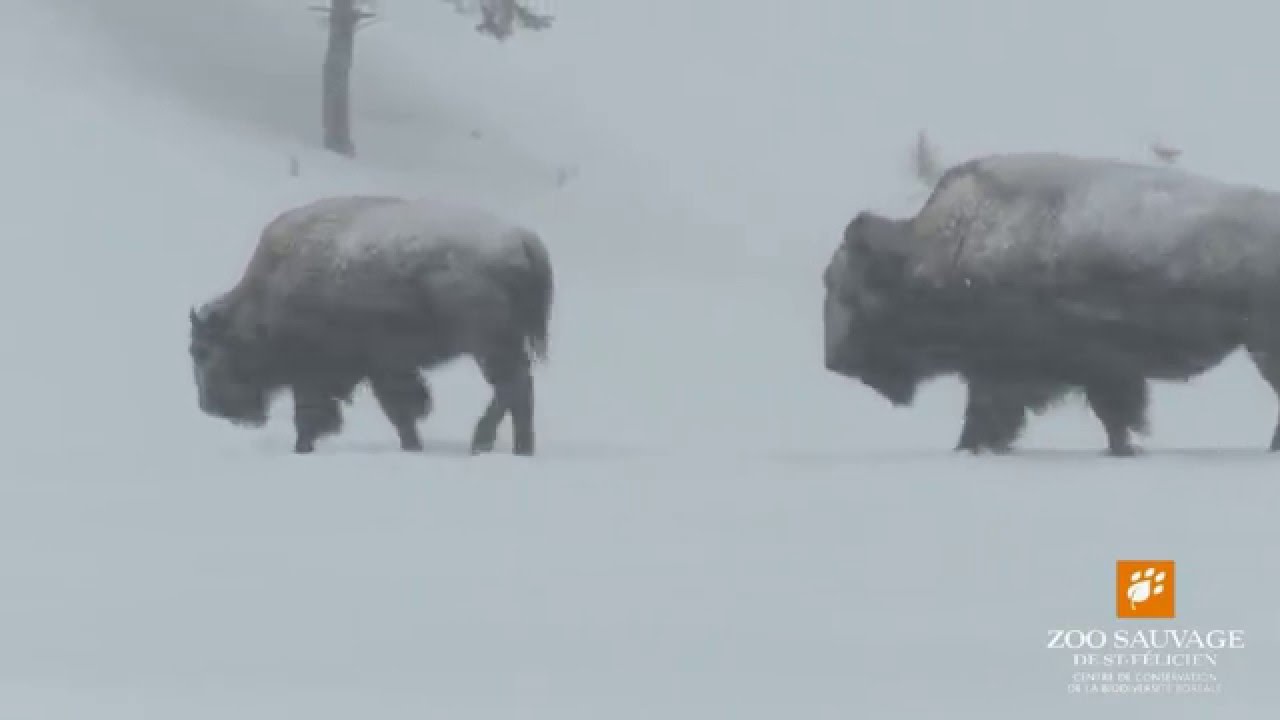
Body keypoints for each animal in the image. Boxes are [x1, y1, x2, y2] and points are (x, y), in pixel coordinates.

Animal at [189, 194, 553, 456]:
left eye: (201, 351)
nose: (208, 406)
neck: (267, 290)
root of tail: (522, 240)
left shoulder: (318, 371)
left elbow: (313, 415)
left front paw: (302, 449)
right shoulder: (382, 368)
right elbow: (399, 411)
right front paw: (412, 446)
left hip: (488, 344)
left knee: (513, 387)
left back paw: (483, 442)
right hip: (498, 345)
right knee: (517, 390)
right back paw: (518, 449)